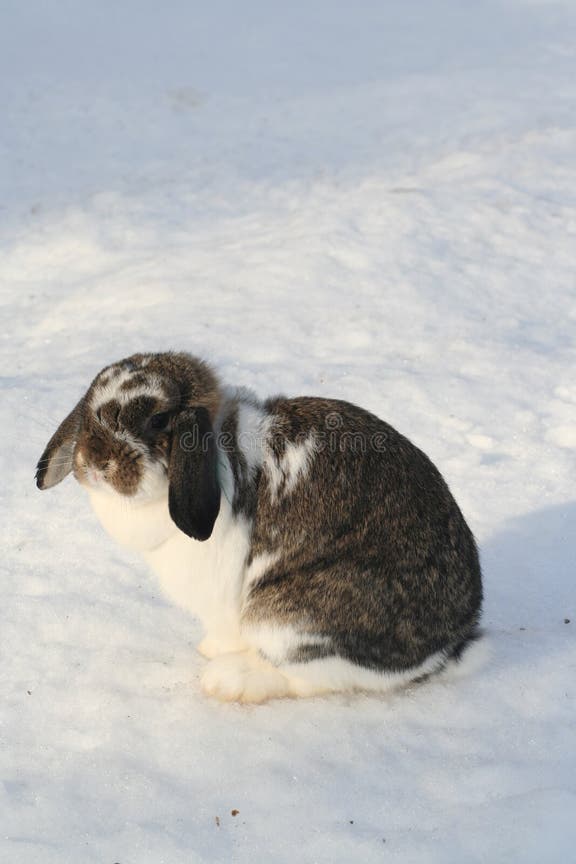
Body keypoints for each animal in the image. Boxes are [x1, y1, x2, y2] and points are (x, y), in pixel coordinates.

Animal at [36, 351, 483, 703]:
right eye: (90, 412)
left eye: (160, 419)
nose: (95, 461)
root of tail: (449, 645)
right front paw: (207, 647)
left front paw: (214, 652)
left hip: (282, 620)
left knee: (304, 678)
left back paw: (227, 680)